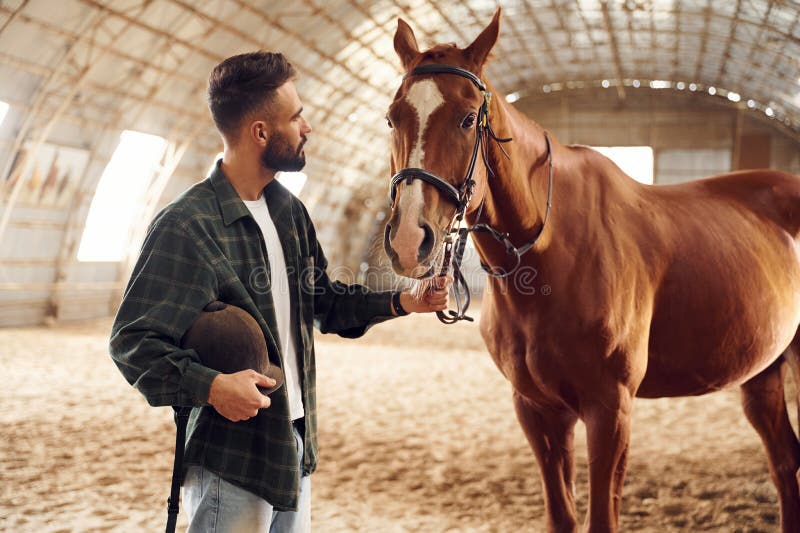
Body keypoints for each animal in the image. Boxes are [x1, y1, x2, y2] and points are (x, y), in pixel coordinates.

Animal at [382, 8, 800, 532]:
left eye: (466, 118)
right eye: (392, 117)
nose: (408, 240)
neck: (551, 256)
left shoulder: (609, 410)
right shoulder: (538, 412)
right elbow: (561, 515)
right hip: (763, 373)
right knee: (784, 461)